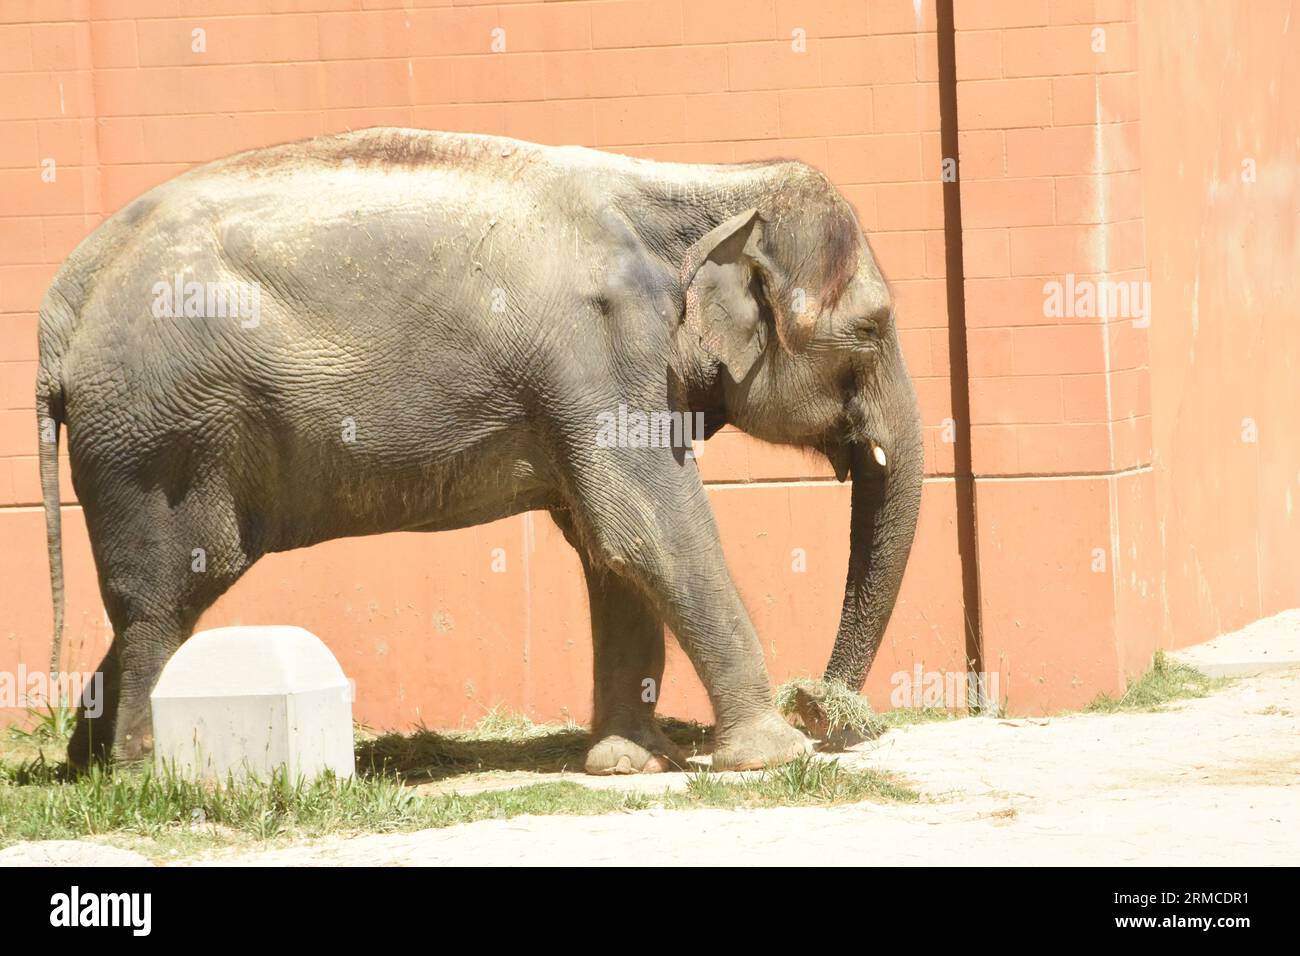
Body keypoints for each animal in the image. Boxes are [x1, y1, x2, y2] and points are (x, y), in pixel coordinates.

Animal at [35, 128, 923, 774]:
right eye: (872, 326)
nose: (826, 709)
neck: (705, 186)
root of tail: (63, 299)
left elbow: (606, 548)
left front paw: (628, 765)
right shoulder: (600, 352)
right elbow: (650, 529)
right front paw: (775, 756)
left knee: (163, 600)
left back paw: (85, 768)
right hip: (158, 440)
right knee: (168, 595)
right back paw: (142, 772)